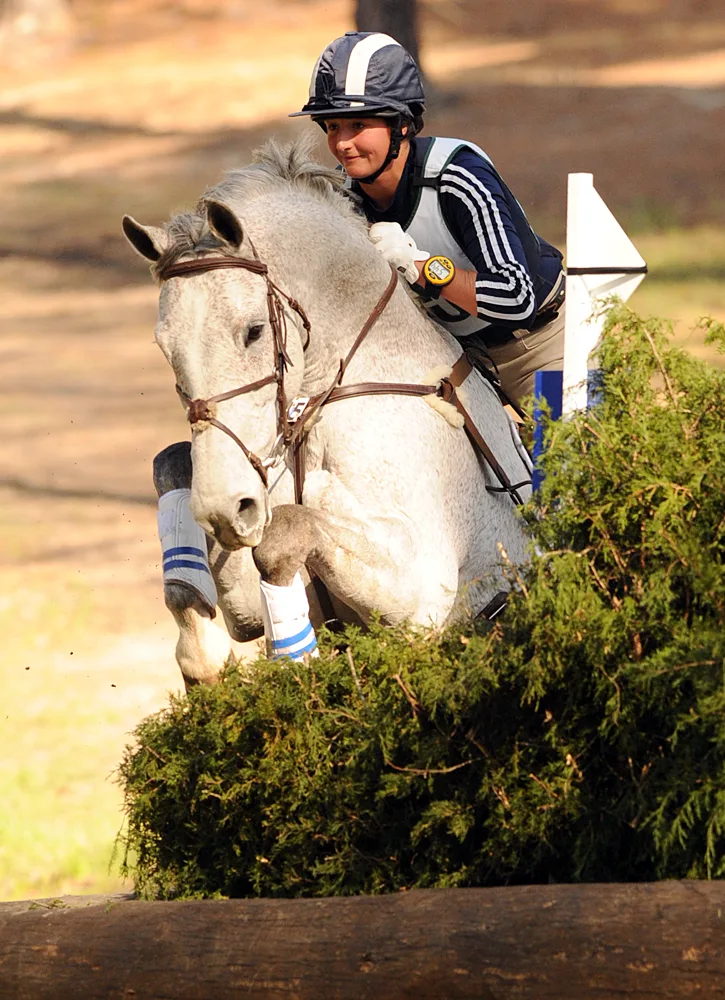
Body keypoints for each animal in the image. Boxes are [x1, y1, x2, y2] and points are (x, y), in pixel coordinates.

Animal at [123, 136, 532, 688]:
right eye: (164, 348)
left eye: (254, 331)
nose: (225, 511)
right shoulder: (246, 587)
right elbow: (178, 475)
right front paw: (205, 663)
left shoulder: (425, 589)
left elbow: (293, 520)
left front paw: (297, 658)